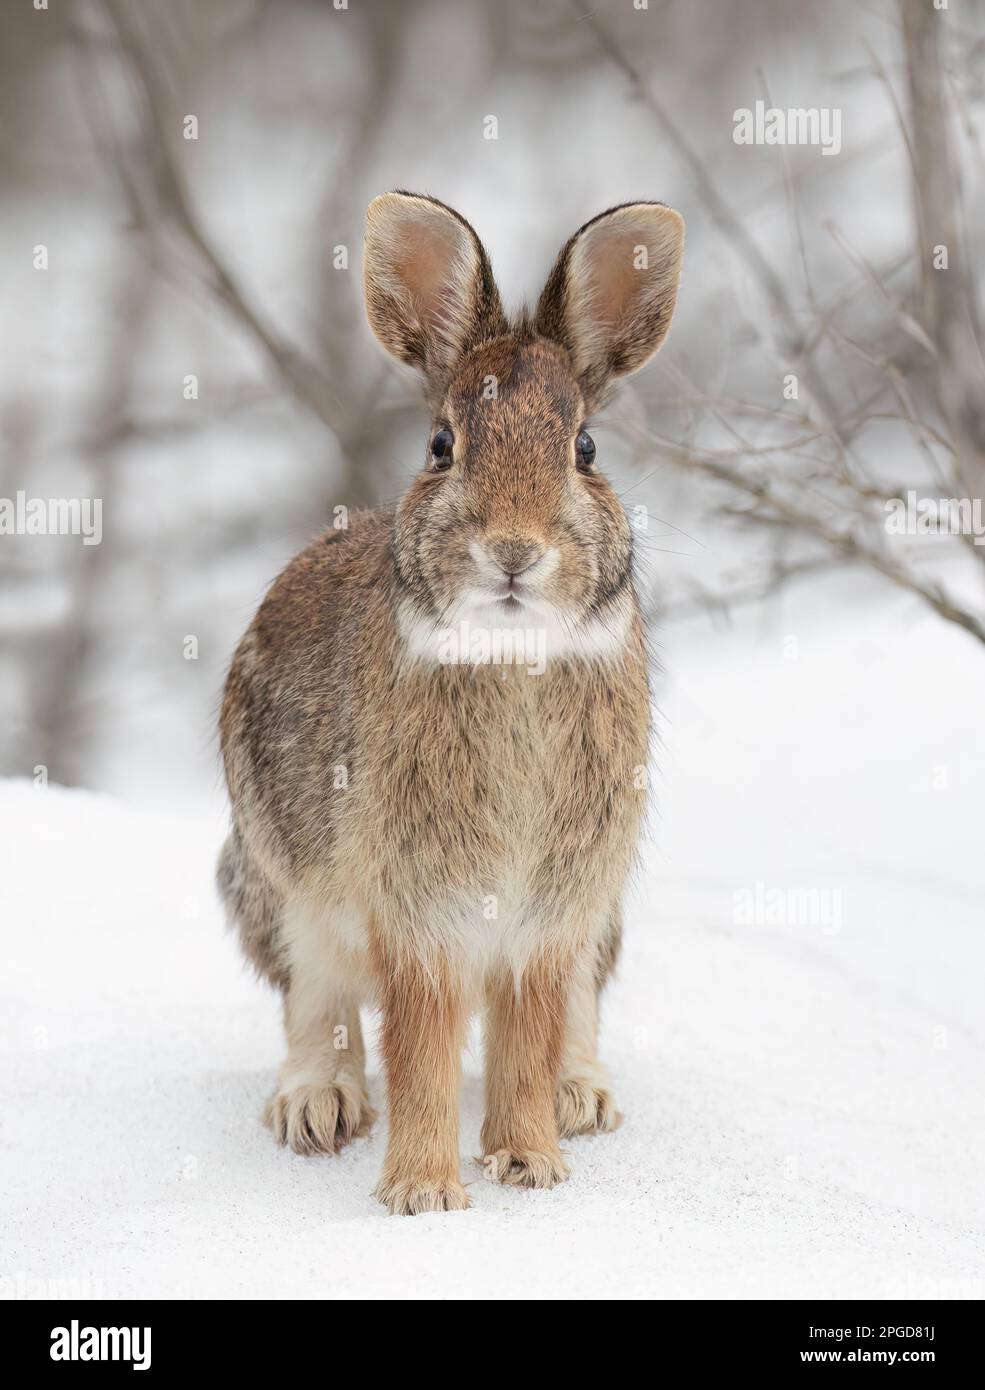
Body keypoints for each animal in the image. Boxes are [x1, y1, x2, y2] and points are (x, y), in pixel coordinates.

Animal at [217, 191, 685, 1214]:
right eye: (441, 445)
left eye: (584, 448)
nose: (511, 550)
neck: (510, 655)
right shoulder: (415, 906)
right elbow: (421, 1043)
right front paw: (424, 1193)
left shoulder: (553, 912)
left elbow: (526, 1034)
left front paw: (528, 1163)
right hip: (277, 886)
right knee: (318, 1006)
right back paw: (317, 1107)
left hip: (603, 920)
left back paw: (580, 1098)